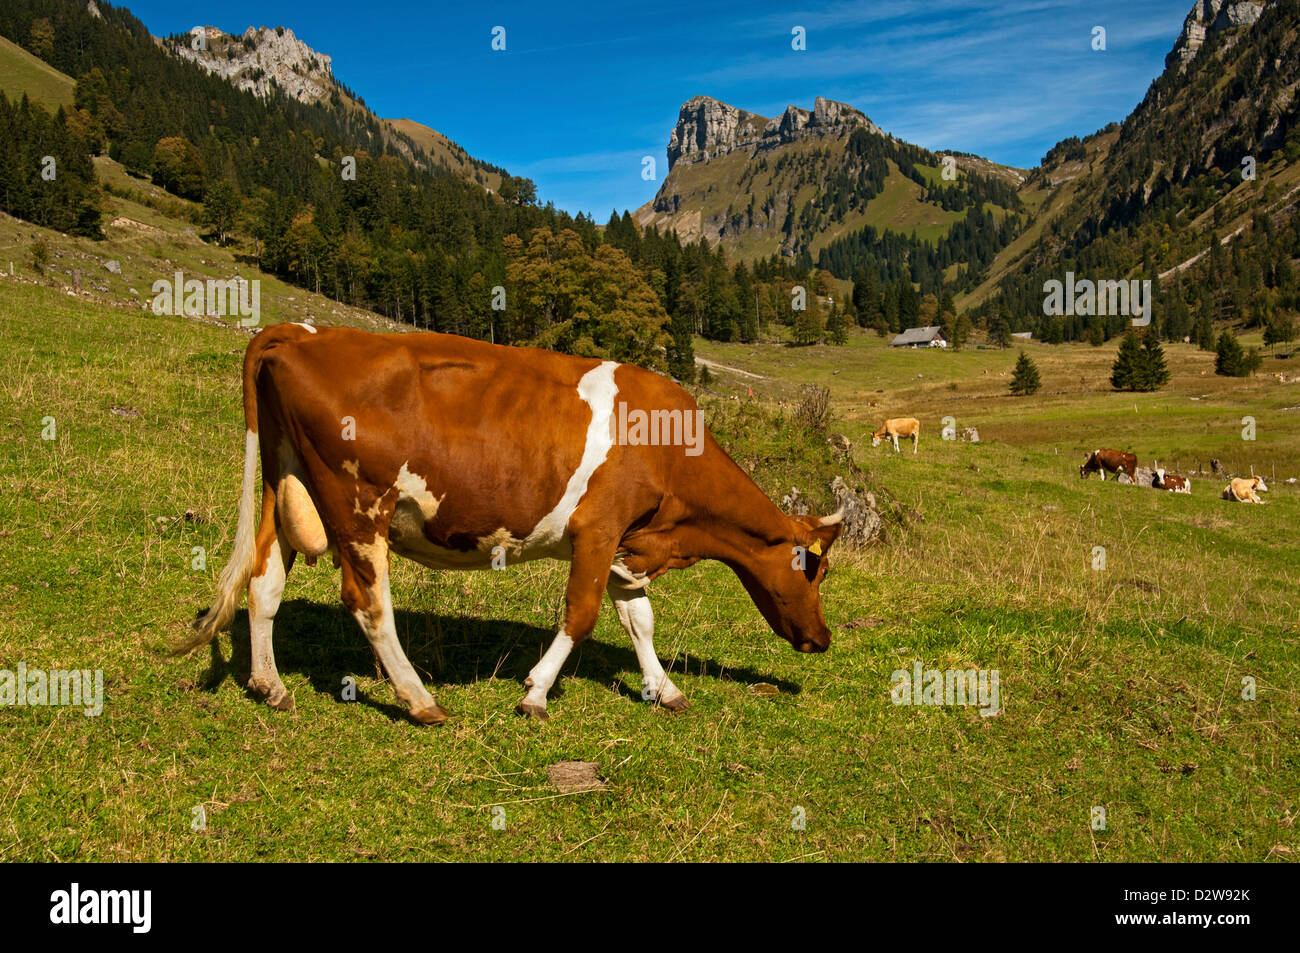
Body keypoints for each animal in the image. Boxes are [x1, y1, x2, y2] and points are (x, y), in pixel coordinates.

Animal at [178, 324, 843, 723]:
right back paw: (419, 699)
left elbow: (640, 619)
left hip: (286, 485)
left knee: (263, 582)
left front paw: (665, 688)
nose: (823, 639)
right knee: (368, 603)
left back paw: (269, 684)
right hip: (358, 505)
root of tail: (299, 332)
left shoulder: (628, 541)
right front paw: (536, 692)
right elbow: (582, 615)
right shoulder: (599, 530)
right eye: (814, 570)